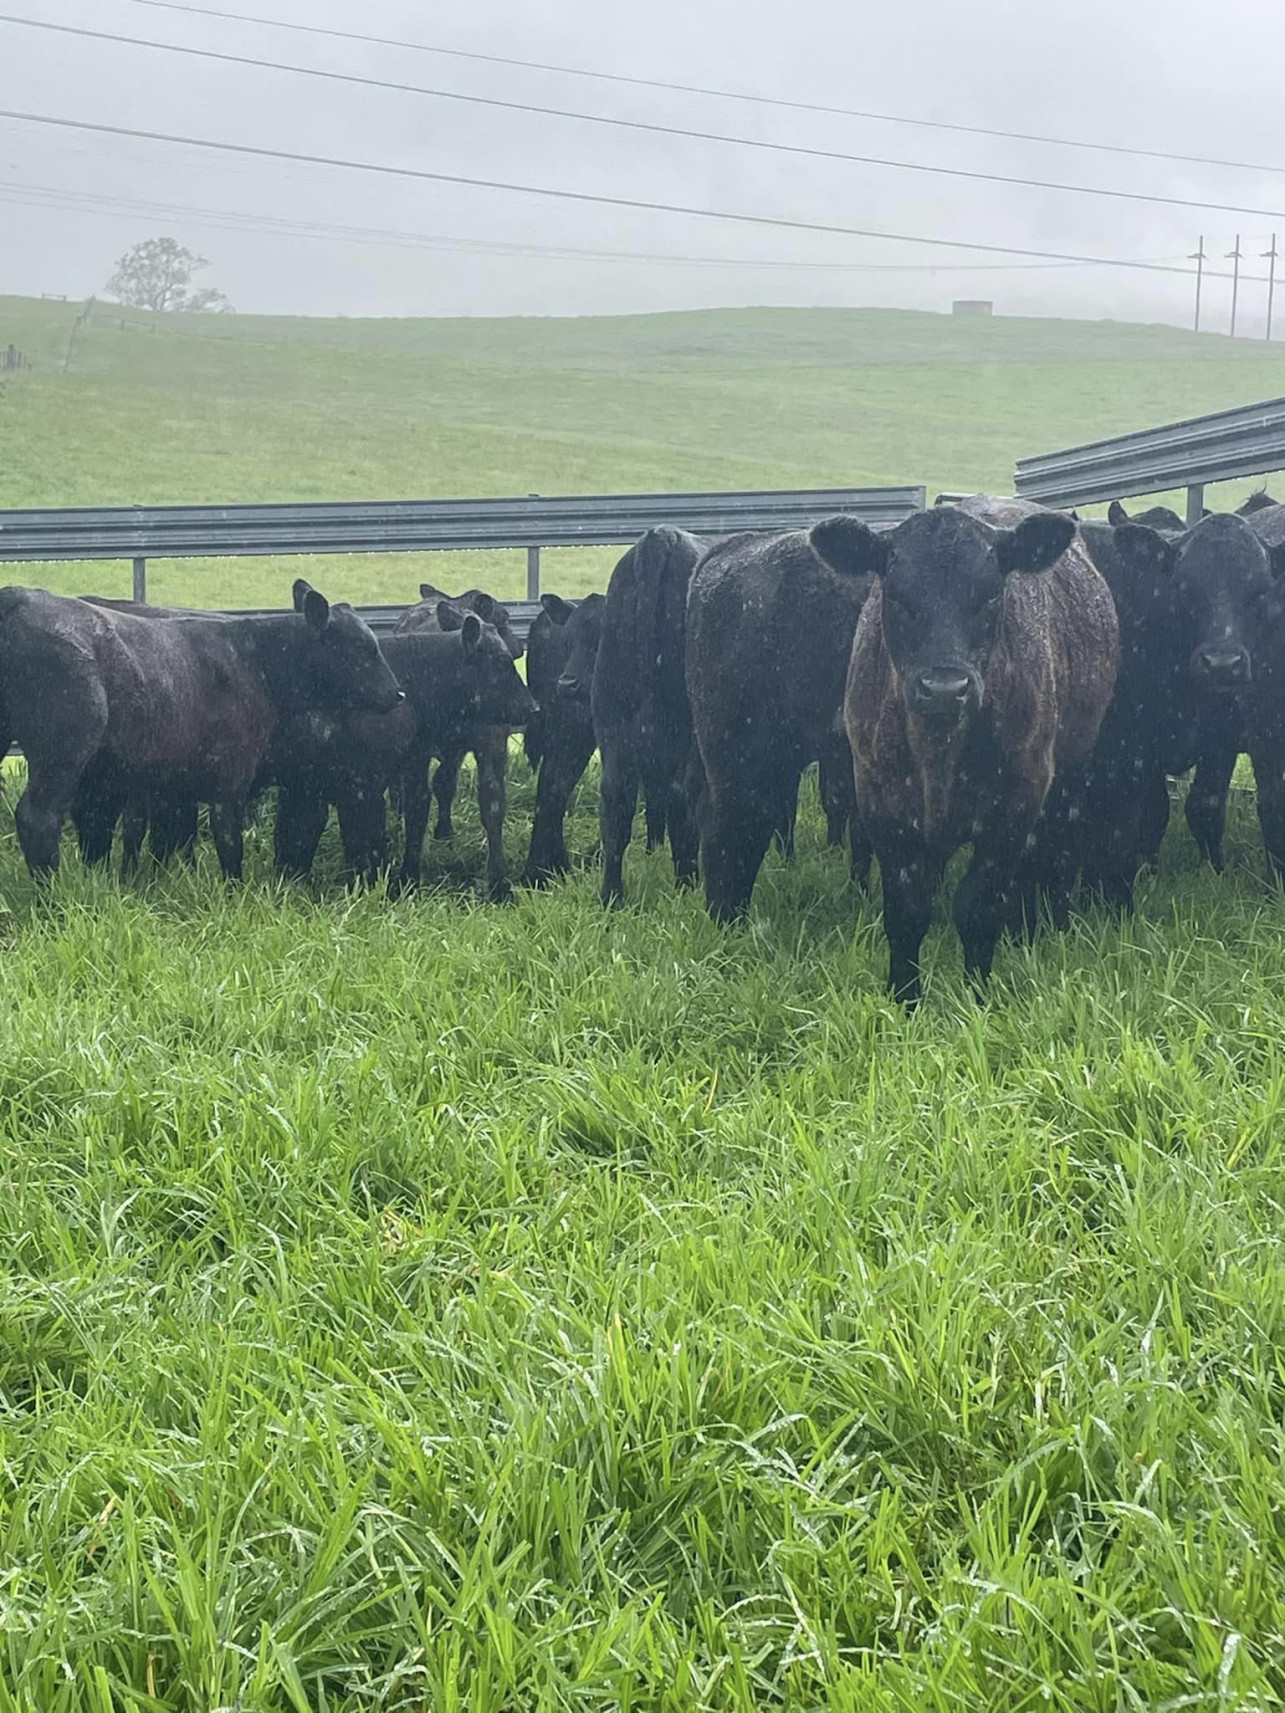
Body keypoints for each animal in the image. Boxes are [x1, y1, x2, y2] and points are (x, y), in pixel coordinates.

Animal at [0, 586, 402, 879]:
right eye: (363, 648)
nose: (398, 693)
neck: (255, 662)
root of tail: (20, 596)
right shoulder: (230, 782)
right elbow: (229, 844)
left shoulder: (174, 785)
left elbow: (169, 838)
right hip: (62, 753)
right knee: (39, 817)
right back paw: (53, 895)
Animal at [395, 583, 522, 900]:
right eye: (504, 618)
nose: (518, 646)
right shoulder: (418, 751)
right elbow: (418, 803)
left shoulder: (491, 741)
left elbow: (492, 803)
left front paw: (499, 881)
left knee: (444, 783)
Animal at [840, 500, 1118, 1005]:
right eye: (897, 596)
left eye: (991, 596)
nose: (945, 688)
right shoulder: (879, 801)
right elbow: (907, 910)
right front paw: (904, 999)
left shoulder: (1015, 805)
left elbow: (978, 906)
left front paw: (976, 997)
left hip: (1071, 773)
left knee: (1057, 854)